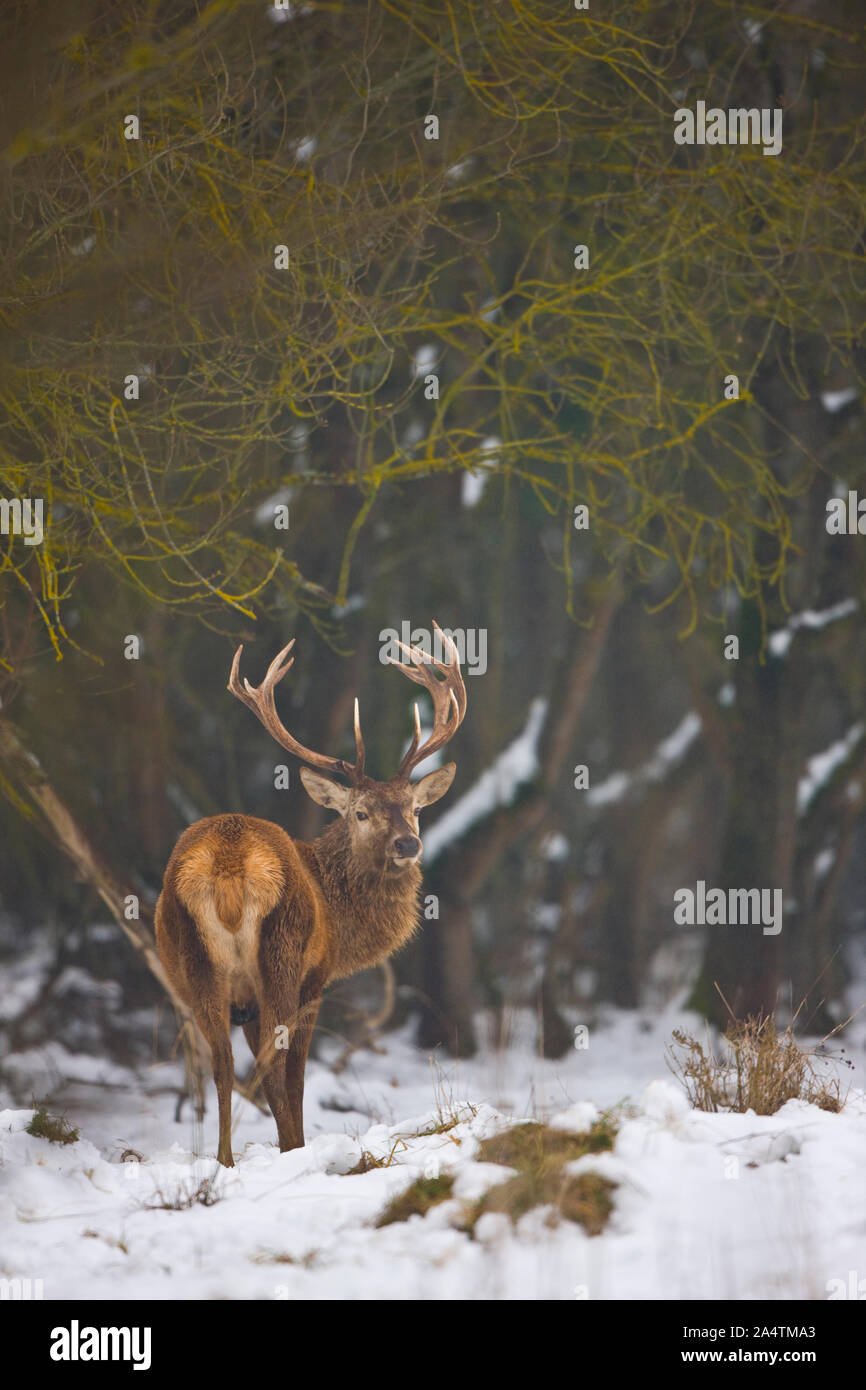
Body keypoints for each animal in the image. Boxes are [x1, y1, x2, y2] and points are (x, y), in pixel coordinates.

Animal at [155, 623, 466, 1166]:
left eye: (415, 808)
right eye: (360, 812)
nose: (408, 843)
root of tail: (227, 863)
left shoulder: (245, 1002)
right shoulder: (315, 978)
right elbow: (294, 1076)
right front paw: (294, 1147)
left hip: (195, 964)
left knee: (221, 1061)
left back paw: (224, 1160)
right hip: (281, 952)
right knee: (271, 1062)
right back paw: (276, 1152)